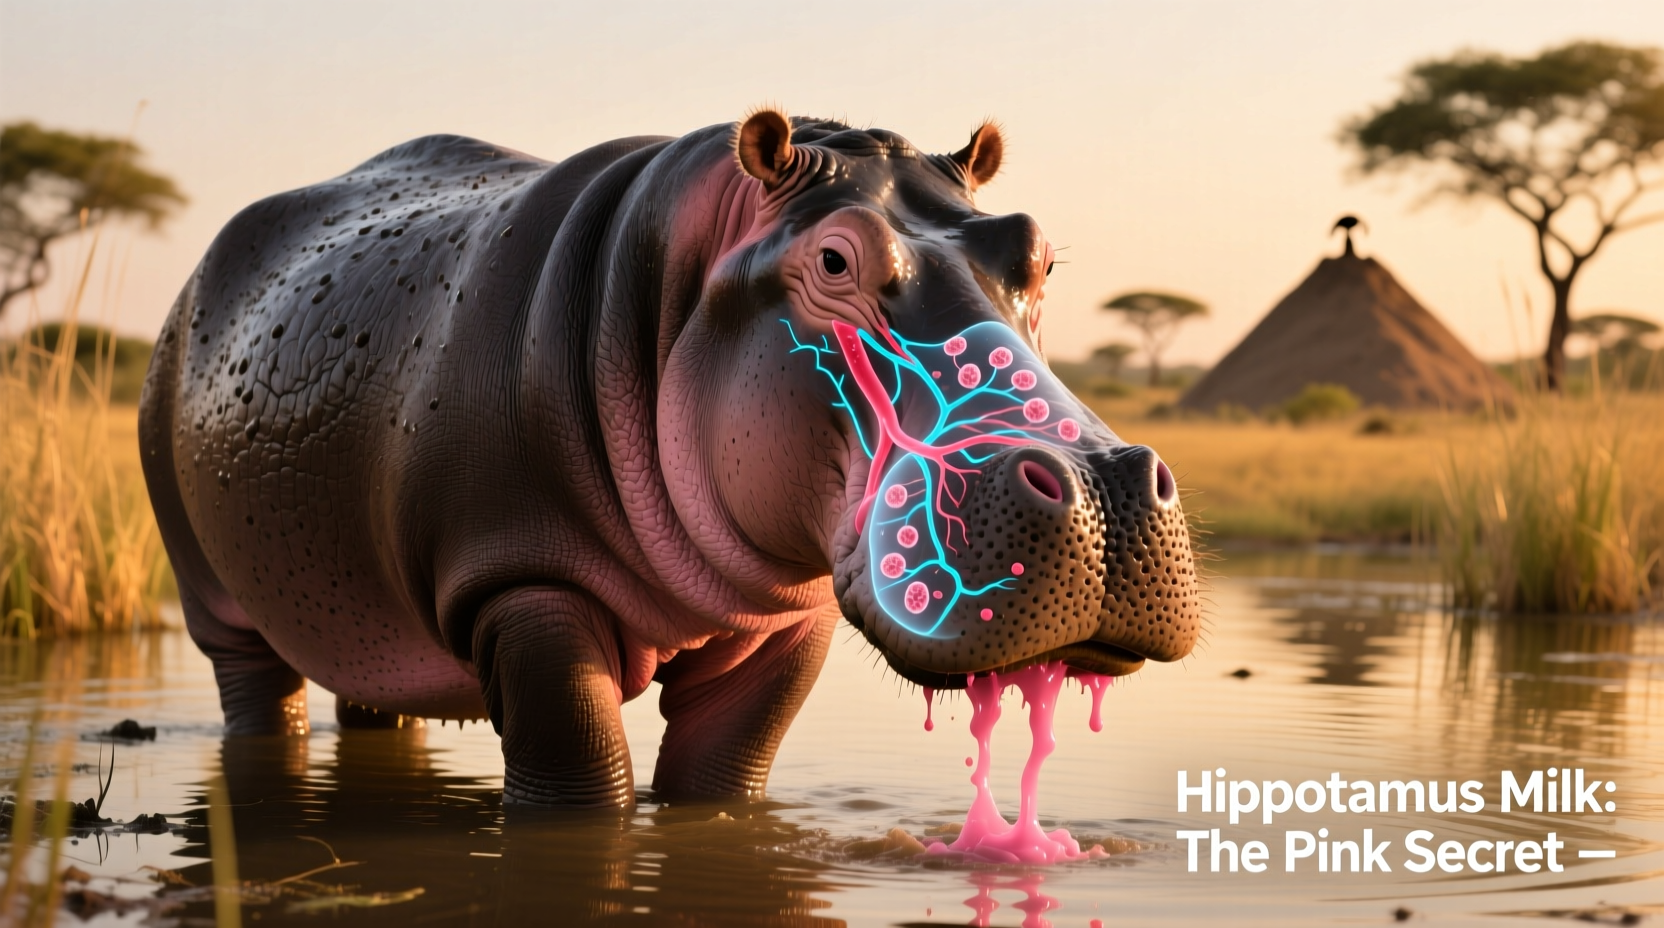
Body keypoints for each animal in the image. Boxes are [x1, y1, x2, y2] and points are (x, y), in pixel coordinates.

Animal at [139, 110, 1200, 808]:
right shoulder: (522, 582)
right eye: (834, 258)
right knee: (256, 694)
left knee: (374, 692)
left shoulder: (786, 624)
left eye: (1036, 254)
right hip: (216, 597)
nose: (1104, 486)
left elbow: (720, 779)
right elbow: (582, 781)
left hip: (368, 619)